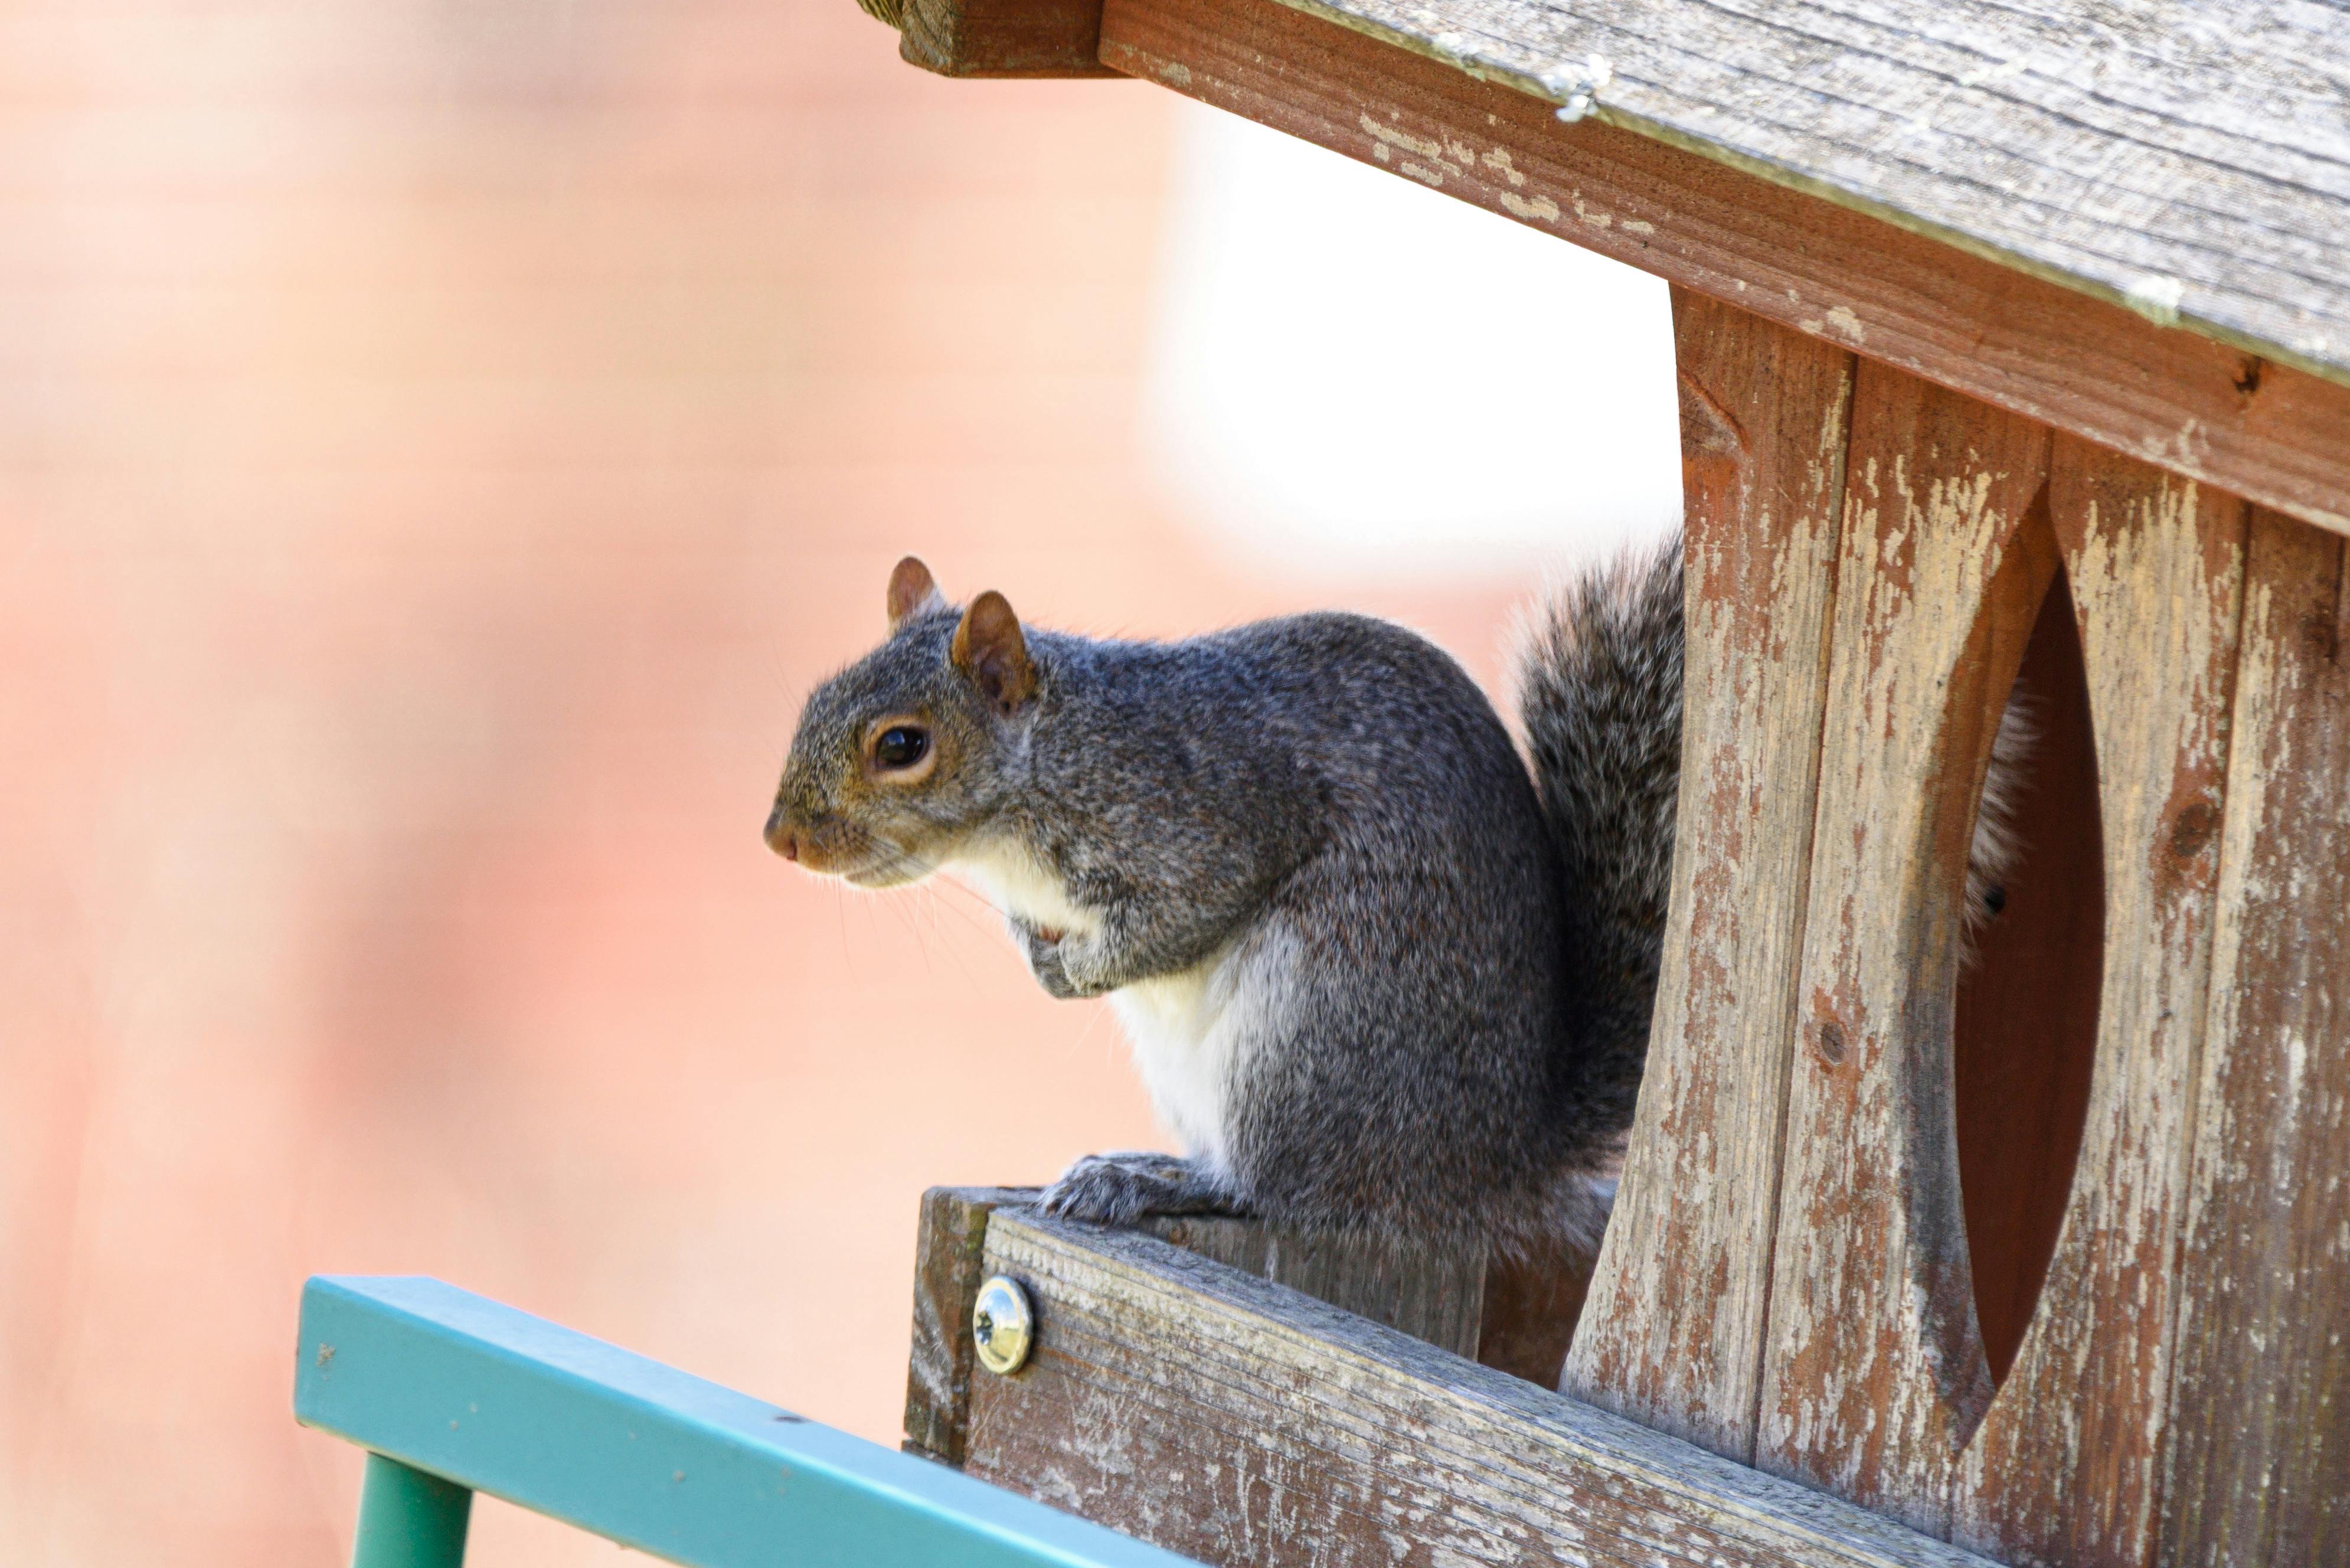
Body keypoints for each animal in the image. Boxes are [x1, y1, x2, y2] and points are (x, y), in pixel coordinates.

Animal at [766, 541, 2028, 1258]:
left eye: (902, 745)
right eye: (815, 696)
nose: (779, 839)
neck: (1050, 768)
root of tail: (1488, 1168)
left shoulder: (1207, 815)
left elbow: (1183, 912)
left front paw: (1077, 971)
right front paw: (1041, 954)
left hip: (1311, 1036)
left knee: (1288, 1194)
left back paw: (1155, 1181)